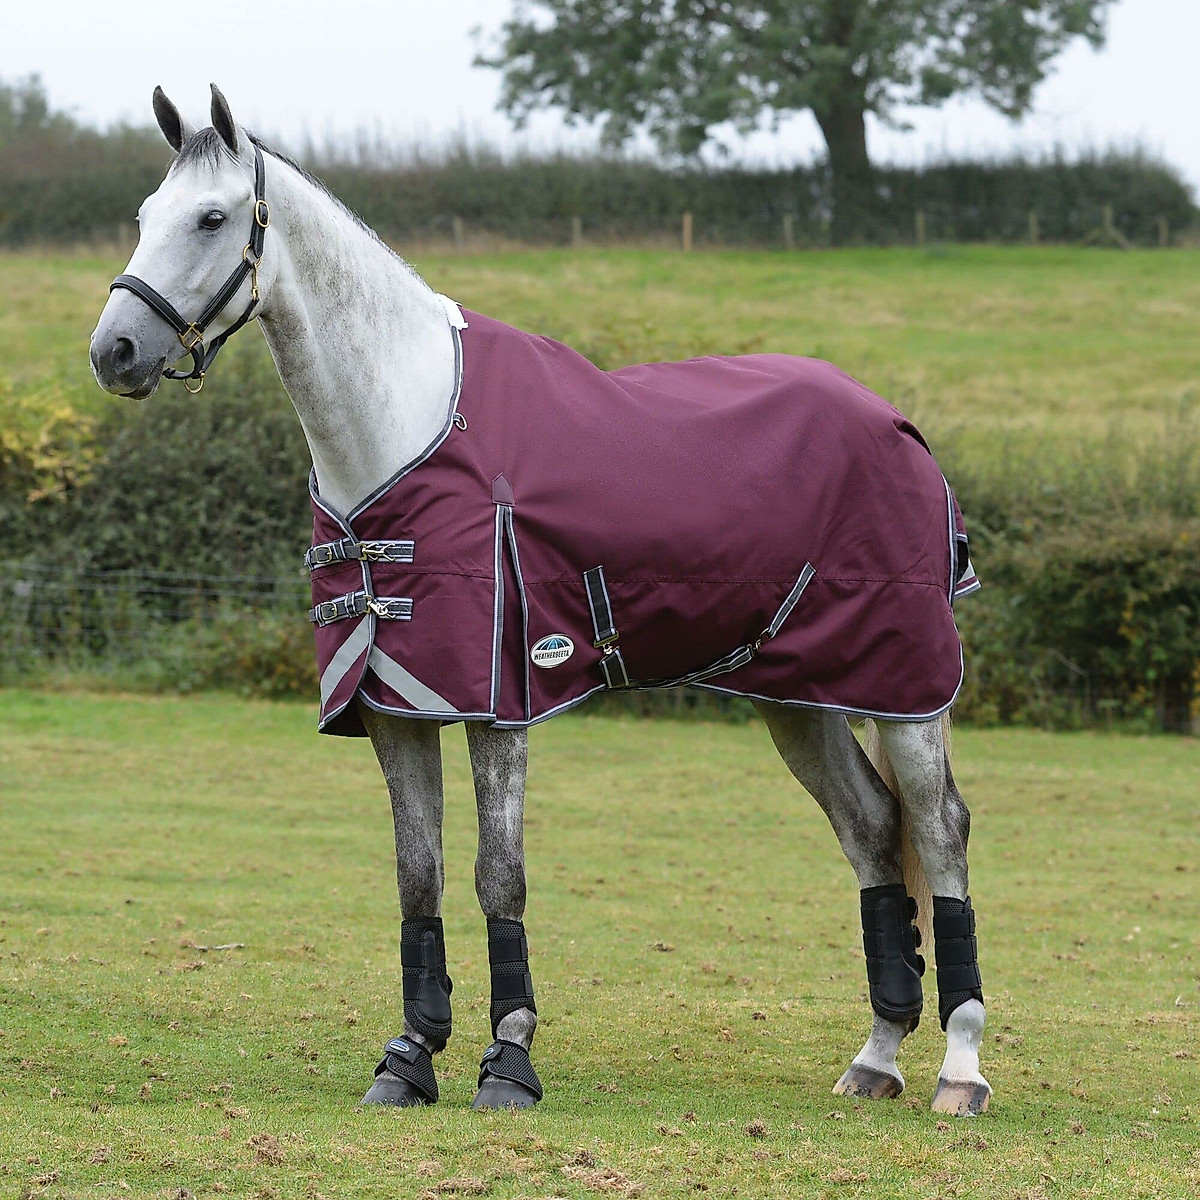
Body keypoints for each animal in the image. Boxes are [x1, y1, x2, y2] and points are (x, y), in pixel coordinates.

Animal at [89, 85, 991, 1116]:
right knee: (874, 832)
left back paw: (960, 1069)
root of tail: (896, 423)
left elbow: (498, 877)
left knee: (940, 834)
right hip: (796, 697)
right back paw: (876, 1057)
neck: (404, 424)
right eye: (143, 217)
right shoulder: (394, 704)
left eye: (211, 217)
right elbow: (418, 876)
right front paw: (408, 1059)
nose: (114, 351)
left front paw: (507, 1062)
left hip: (907, 690)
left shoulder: (498, 702)